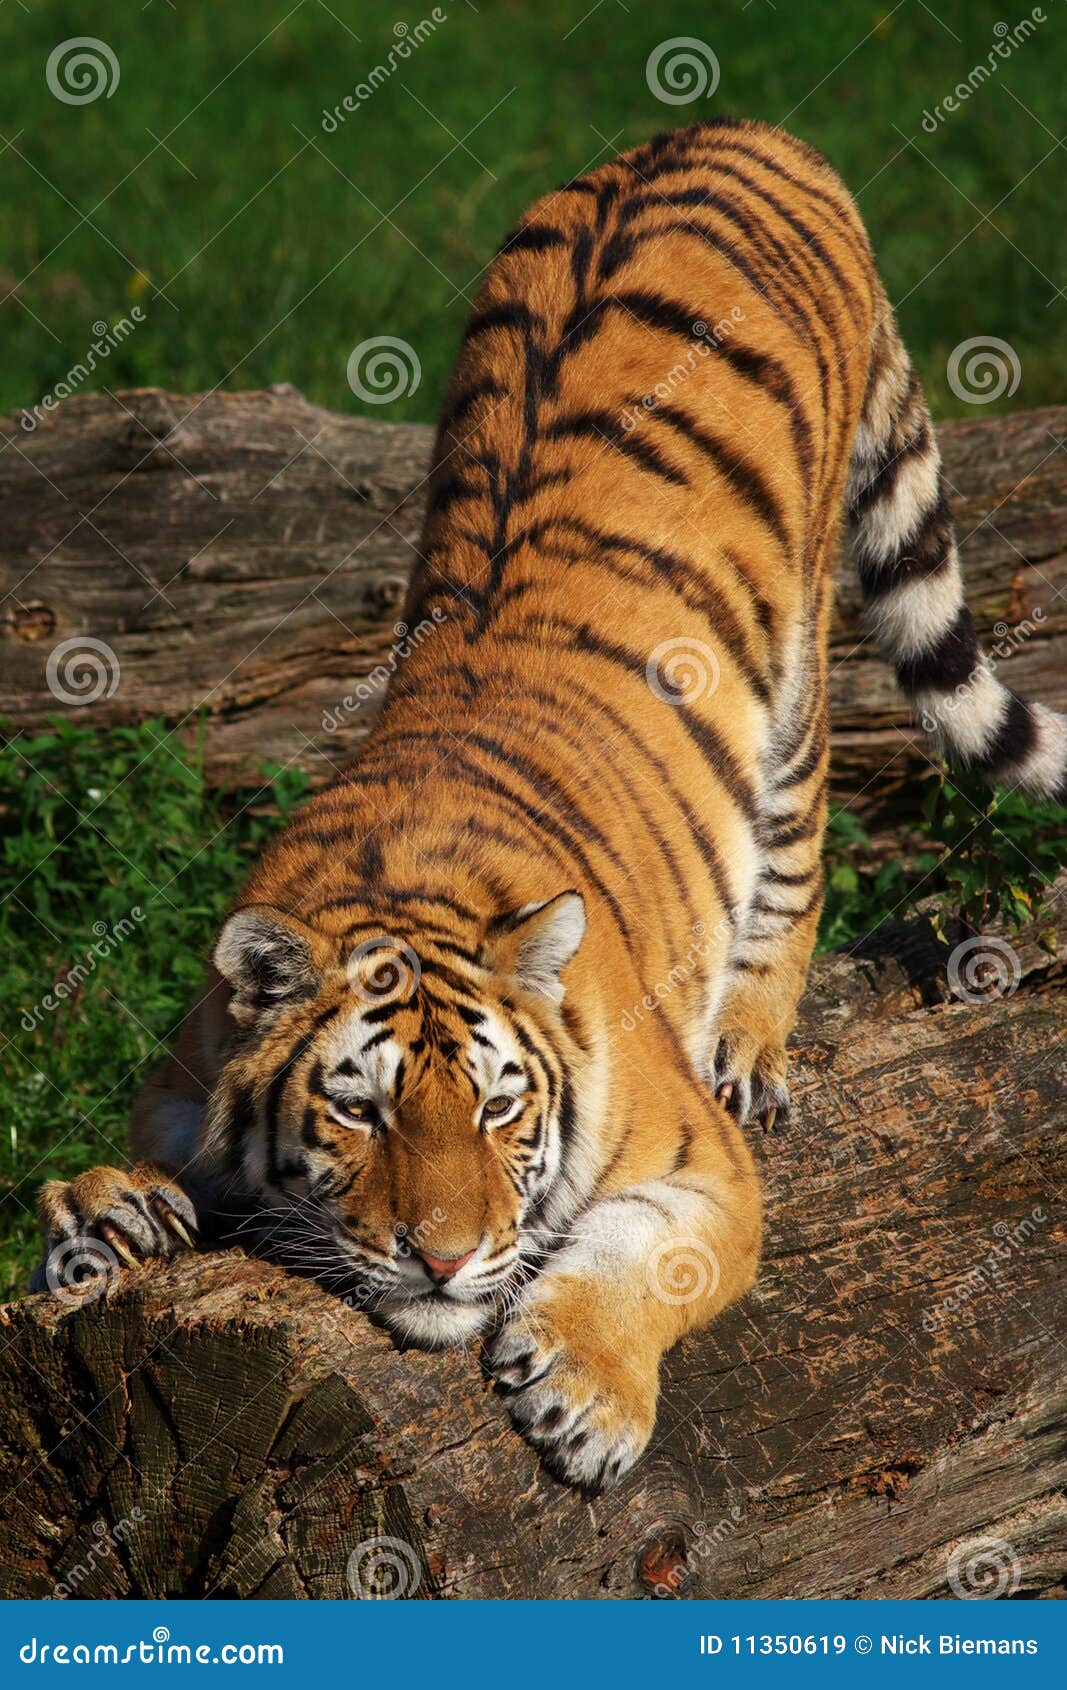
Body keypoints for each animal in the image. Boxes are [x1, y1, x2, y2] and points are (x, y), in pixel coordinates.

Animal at [32, 118, 1067, 1492]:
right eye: (356, 1108)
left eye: (498, 1104)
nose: (442, 1257)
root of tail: (739, 129)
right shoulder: (185, 1063)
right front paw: (106, 1208)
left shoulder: (699, 1168)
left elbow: (651, 1258)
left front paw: (581, 1395)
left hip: (794, 657)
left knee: (797, 835)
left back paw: (749, 1042)